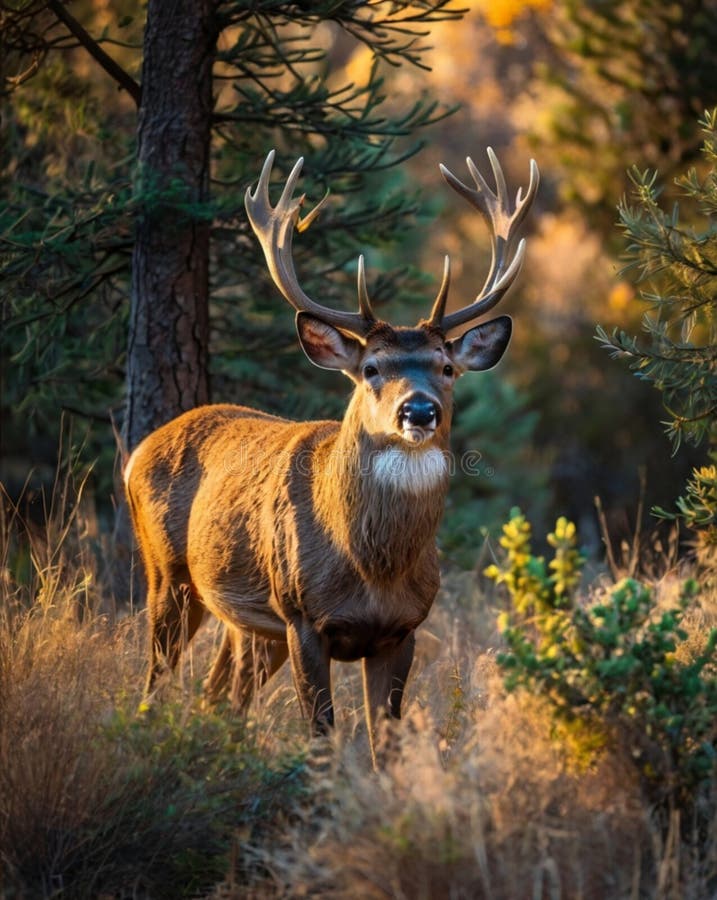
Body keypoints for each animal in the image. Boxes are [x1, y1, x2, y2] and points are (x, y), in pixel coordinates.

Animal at [123, 147, 539, 767]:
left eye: (446, 367)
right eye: (371, 369)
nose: (419, 411)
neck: (372, 564)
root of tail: (138, 451)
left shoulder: (403, 628)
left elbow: (384, 742)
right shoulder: (302, 616)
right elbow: (321, 732)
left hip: (250, 621)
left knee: (218, 694)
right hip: (168, 572)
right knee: (157, 680)